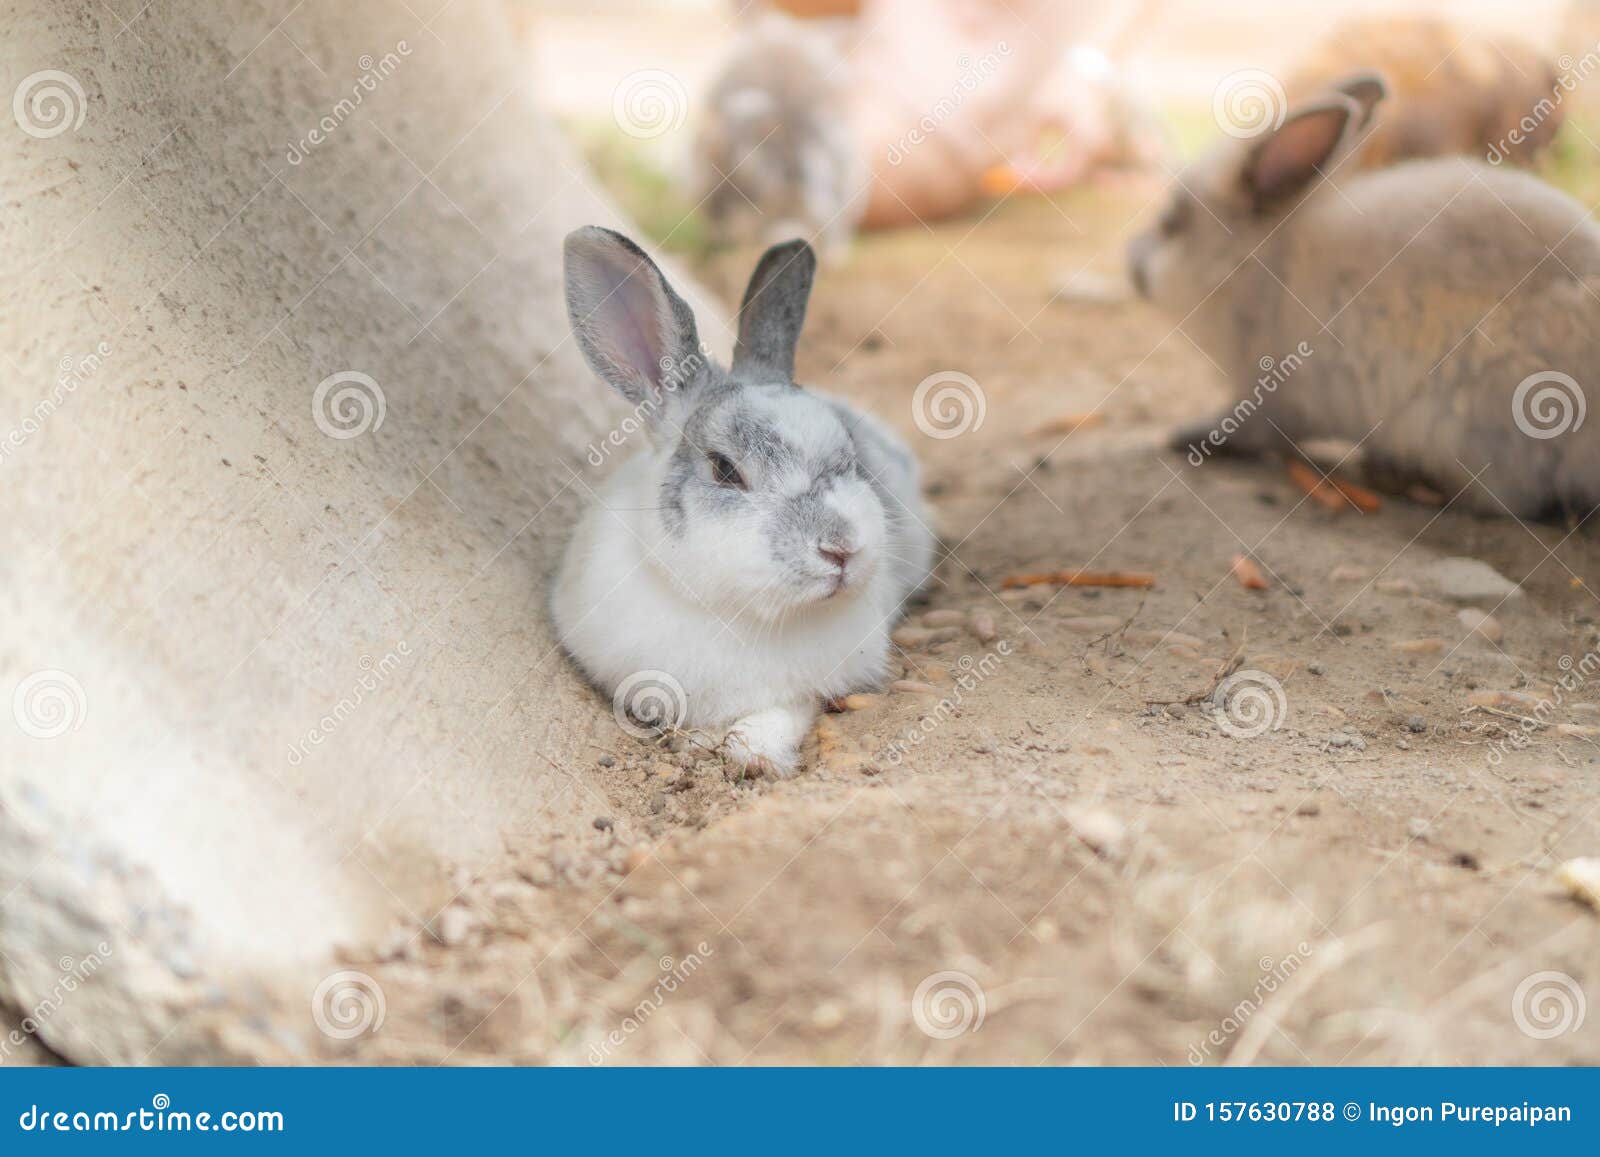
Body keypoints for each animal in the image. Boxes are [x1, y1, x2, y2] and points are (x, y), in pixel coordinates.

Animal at [551, 226, 935, 776]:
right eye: (725, 470)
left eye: (850, 455)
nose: (841, 550)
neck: (735, 613)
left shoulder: (802, 692)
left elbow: (778, 716)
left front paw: (751, 754)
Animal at [1126, 74, 1600, 523]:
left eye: (1171, 223)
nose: (1130, 259)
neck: (1255, 270)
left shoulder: (1270, 398)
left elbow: (1249, 429)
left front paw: (1187, 435)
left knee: (1506, 501)